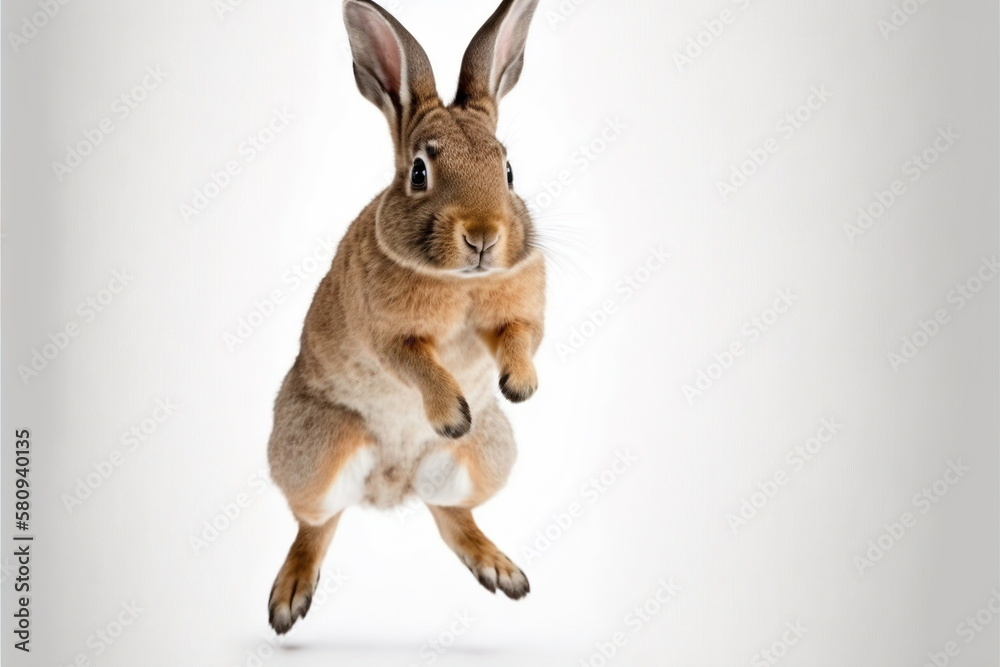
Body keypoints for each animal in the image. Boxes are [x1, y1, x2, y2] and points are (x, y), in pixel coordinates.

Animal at [266, 0, 546, 635]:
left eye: (509, 170)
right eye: (419, 172)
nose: (483, 235)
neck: (462, 281)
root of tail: (389, 490)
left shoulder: (519, 315)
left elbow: (519, 336)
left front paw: (519, 385)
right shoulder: (391, 339)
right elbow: (419, 365)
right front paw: (451, 414)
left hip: (486, 459)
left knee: (450, 517)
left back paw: (501, 571)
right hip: (316, 451)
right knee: (315, 524)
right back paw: (289, 599)